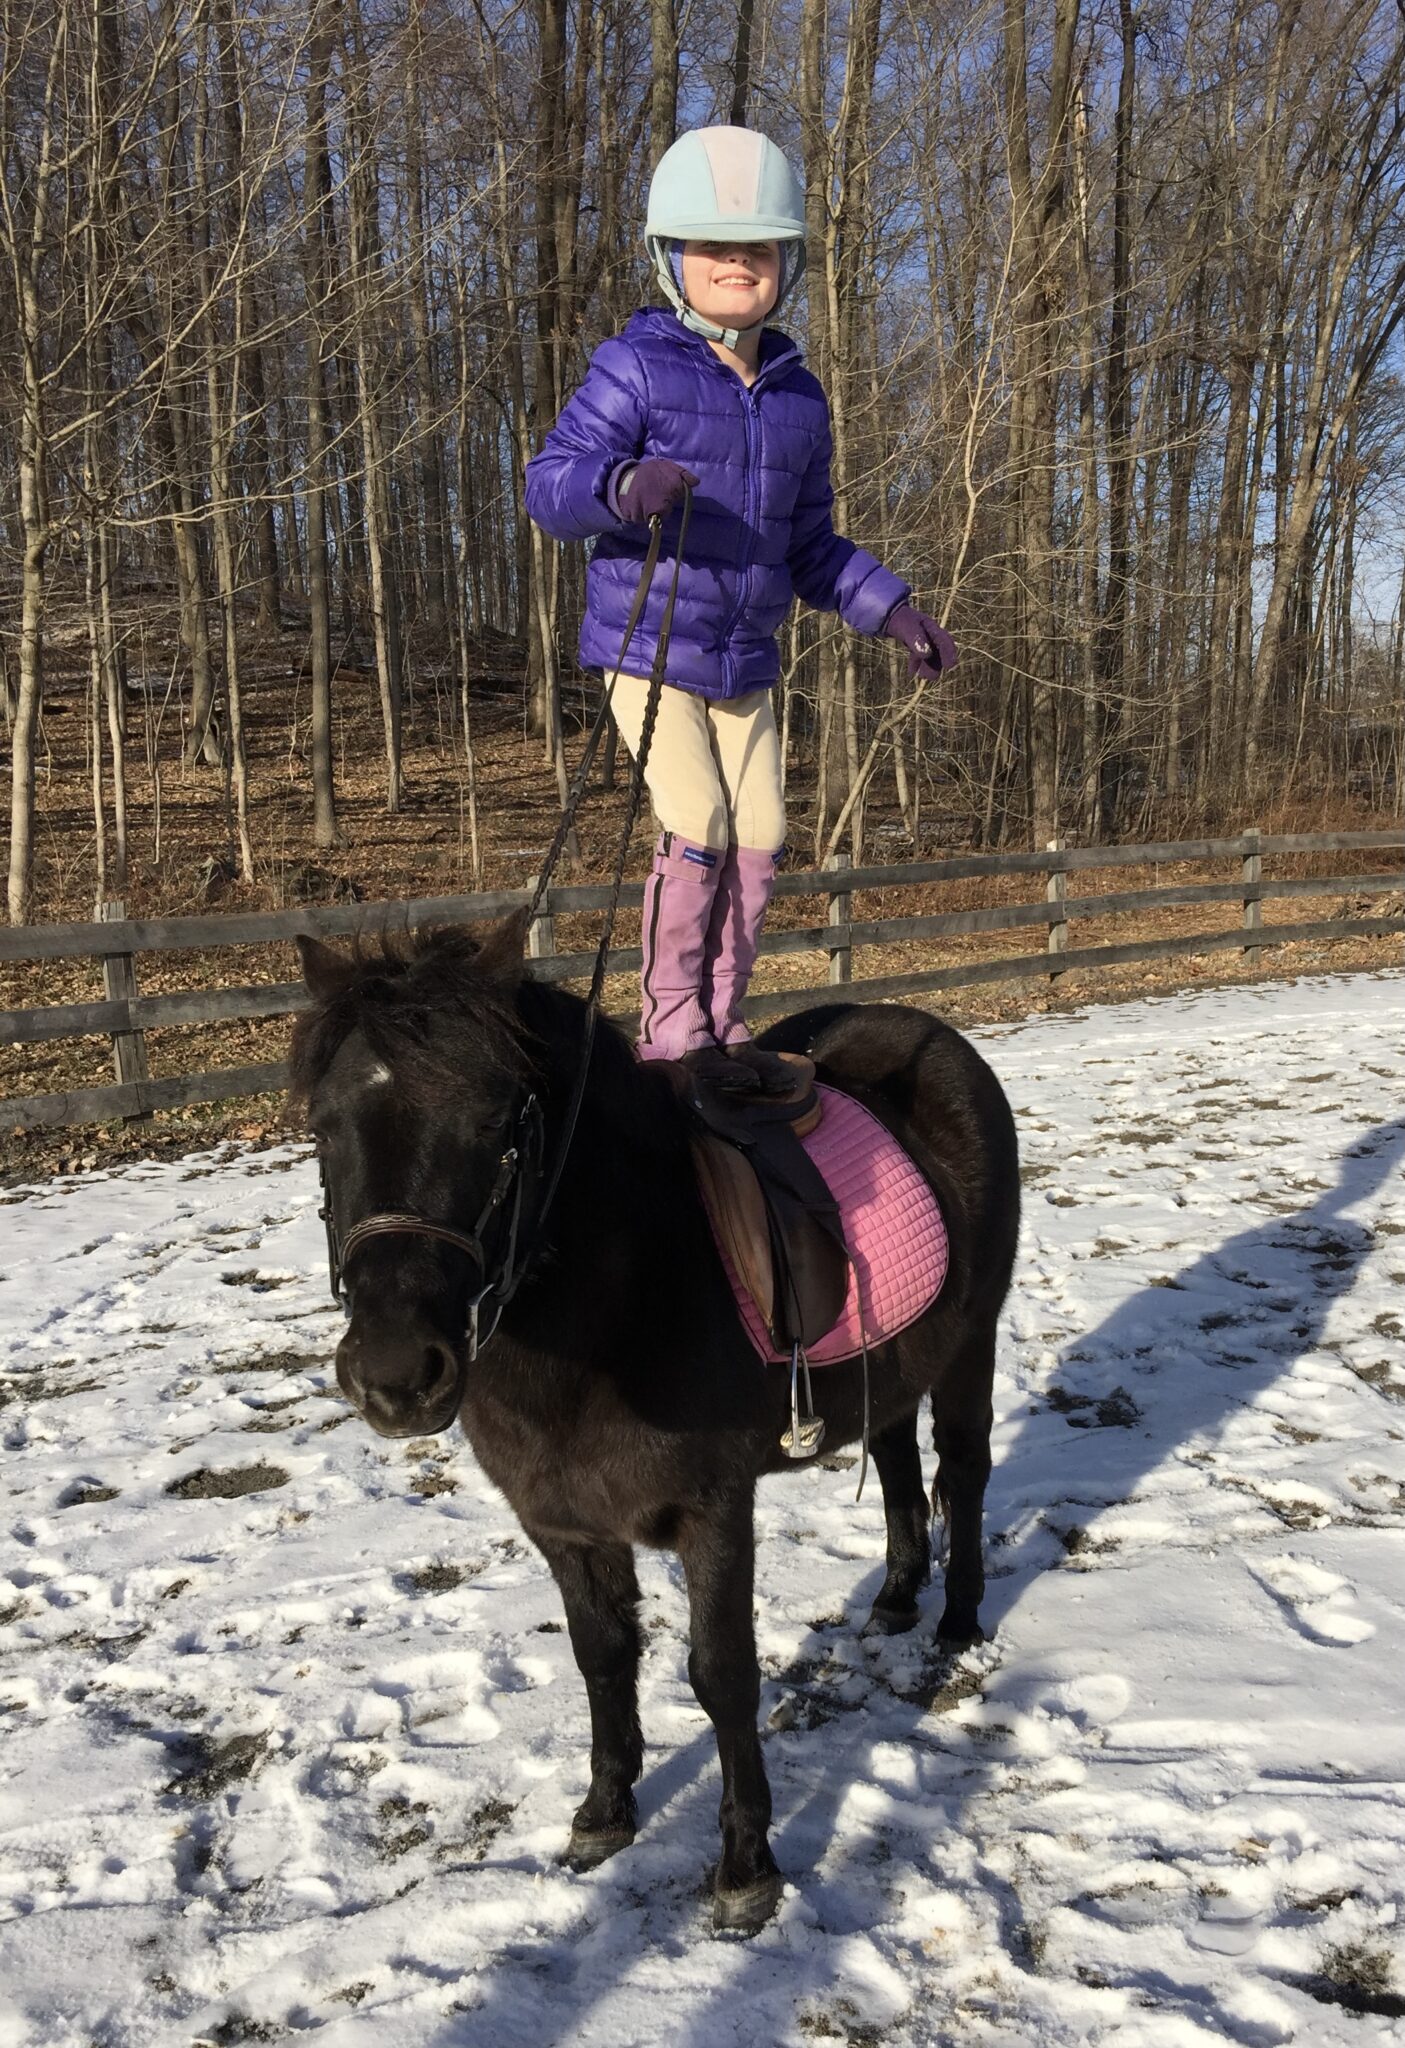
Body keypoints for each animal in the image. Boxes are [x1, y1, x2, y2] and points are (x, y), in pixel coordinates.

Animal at [291, 910, 1020, 1932]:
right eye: (324, 1127)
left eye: (495, 1122)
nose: (397, 1376)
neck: (617, 1302)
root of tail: (932, 1033)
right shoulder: (563, 1523)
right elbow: (602, 1658)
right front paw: (604, 1812)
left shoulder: (713, 1510)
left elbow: (721, 1675)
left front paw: (746, 1867)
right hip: (893, 1359)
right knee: (897, 1460)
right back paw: (895, 1597)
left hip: (969, 1343)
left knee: (961, 1467)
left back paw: (954, 1622)